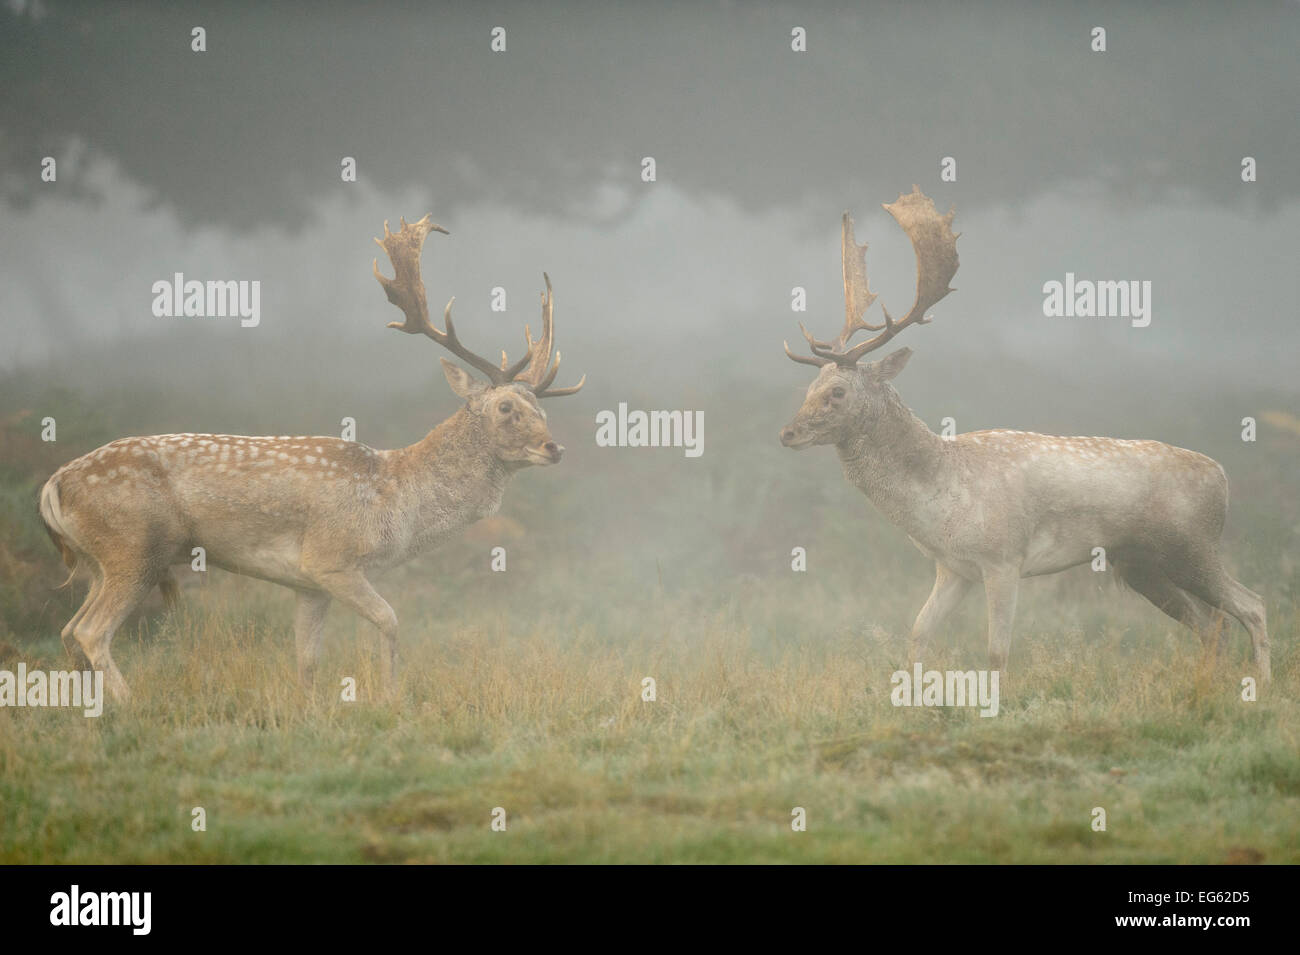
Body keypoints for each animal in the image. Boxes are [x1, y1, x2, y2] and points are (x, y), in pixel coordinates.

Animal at [39, 215, 584, 702]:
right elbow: (390, 621)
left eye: (541, 409)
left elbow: (306, 659)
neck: (395, 496)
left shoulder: (307, 583)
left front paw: (310, 711)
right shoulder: (332, 559)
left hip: (99, 560)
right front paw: (390, 698)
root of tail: (52, 487)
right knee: (90, 632)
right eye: (506, 407)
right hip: (134, 547)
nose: (554, 447)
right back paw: (130, 705)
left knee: (67, 630)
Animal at [780, 186, 1269, 681]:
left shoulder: (1003, 557)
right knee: (1213, 625)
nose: (787, 433)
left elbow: (997, 652)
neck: (941, 499)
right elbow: (918, 632)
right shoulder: (953, 569)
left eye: (838, 391)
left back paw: (1260, 687)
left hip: (1192, 546)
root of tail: (1222, 476)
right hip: (1141, 564)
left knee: (1252, 605)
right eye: (810, 386)